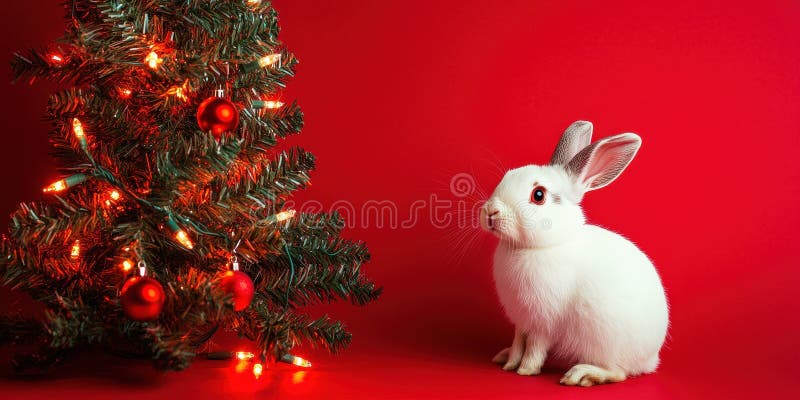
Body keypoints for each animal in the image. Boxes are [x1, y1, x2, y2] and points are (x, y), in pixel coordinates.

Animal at [481, 121, 668, 387]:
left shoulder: (542, 323)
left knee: (618, 372)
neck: (539, 247)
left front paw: (525, 370)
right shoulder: (521, 322)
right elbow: (518, 343)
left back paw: (581, 374)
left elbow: (534, 348)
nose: (491, 212)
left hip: (605, 341)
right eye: (506, 176)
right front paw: (509, 364)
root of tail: (651, 359)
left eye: (538, 195)